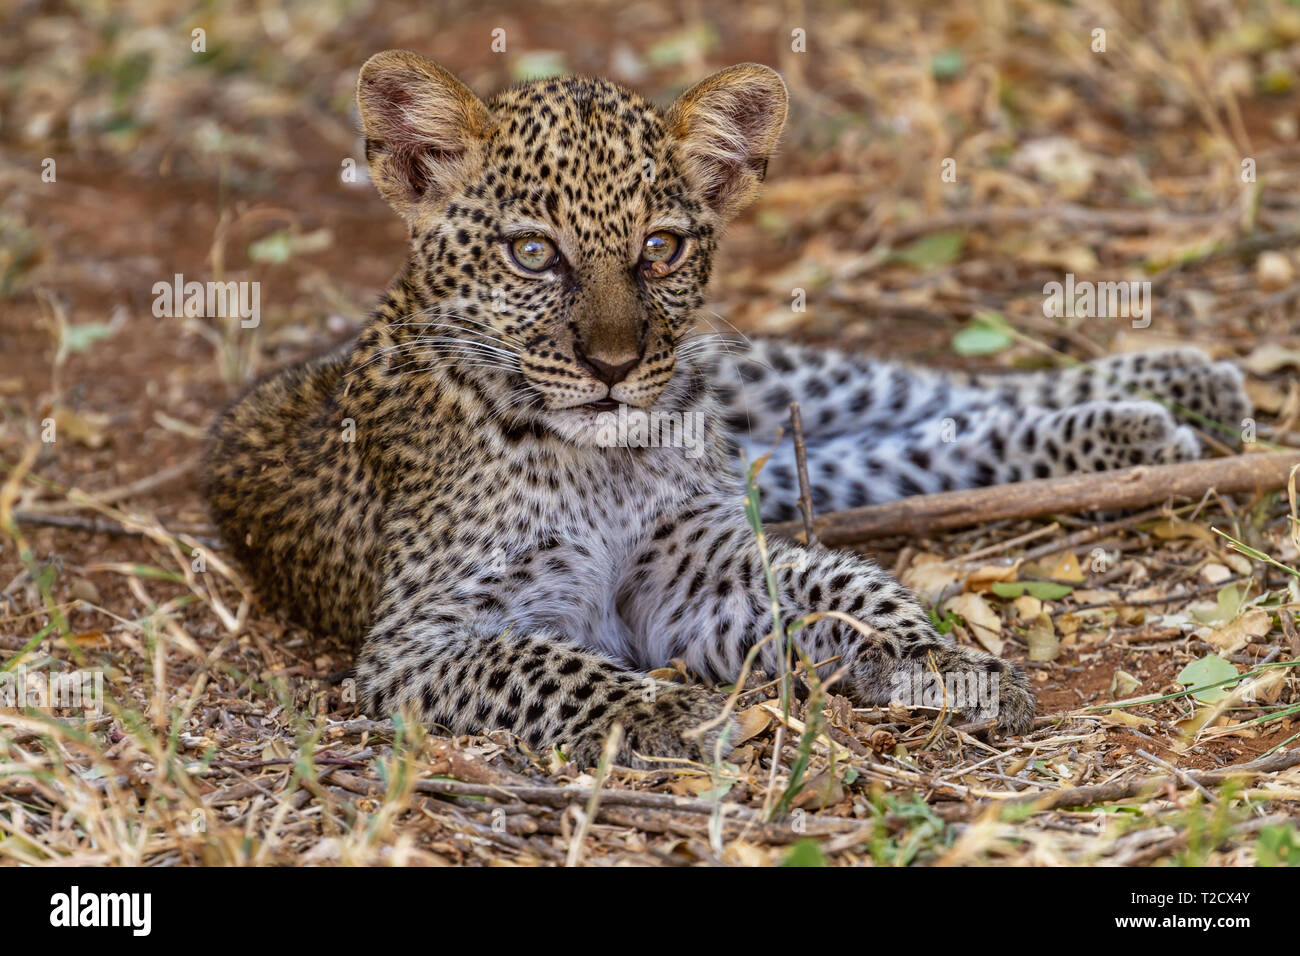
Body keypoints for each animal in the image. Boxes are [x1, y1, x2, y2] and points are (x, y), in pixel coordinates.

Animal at [203, 51, 1251, 767]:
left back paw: (1176, 391)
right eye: (533, 254)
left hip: (763, 386)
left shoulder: (691, 565)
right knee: (913, 445)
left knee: (940, 393)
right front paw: (669, 712)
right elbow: (546, 667)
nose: (615, 366)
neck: (600, 462)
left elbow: (844, 587)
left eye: (660, 248)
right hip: (781, 459)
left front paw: (931, 652)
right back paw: (1152, 420)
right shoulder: (421, 642)